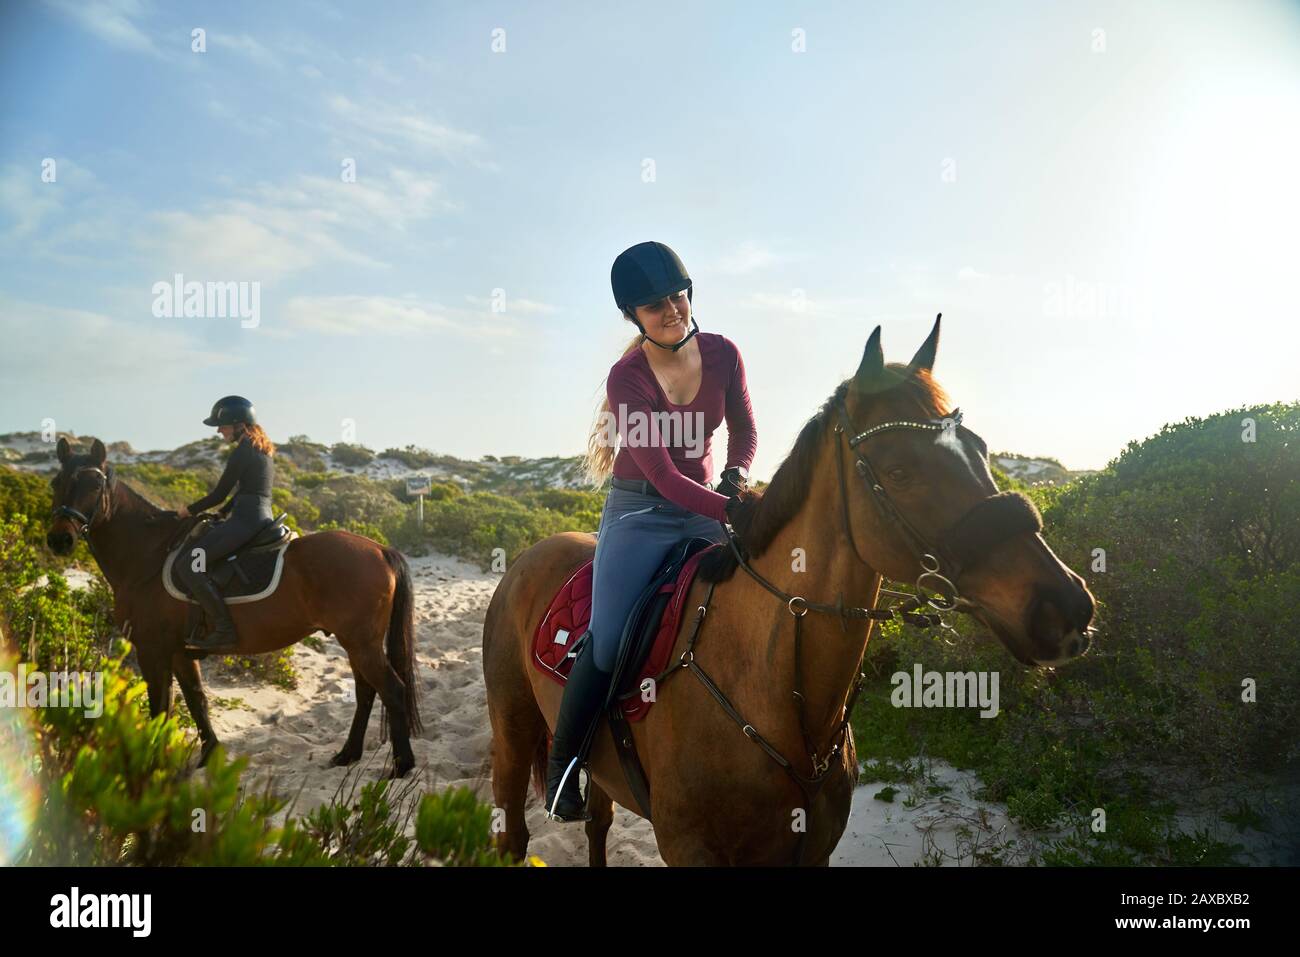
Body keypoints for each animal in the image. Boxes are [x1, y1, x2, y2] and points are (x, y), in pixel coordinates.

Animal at [44, 437, 423, 776]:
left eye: (95, 484)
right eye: (56, 482)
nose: (60, 539)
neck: (148, 555)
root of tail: (379, 549)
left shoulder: (152, 650)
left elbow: (160, 707)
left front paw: (152, 764)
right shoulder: (180, 651)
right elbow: (196, 700)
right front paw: (208, 755)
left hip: (361, 644)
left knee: (392, 690)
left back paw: (401, 766)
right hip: (357, 644)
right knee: (366, 692)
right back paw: (348, 755)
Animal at [482, 317, 1096, 866]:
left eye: (980, 448)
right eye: (899, 471)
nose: (1066, 606)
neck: (768, 682)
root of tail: (526, 558)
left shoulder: (812, 849)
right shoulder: (690, 850)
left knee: (598, 827)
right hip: (511, 734)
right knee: (513, 831)